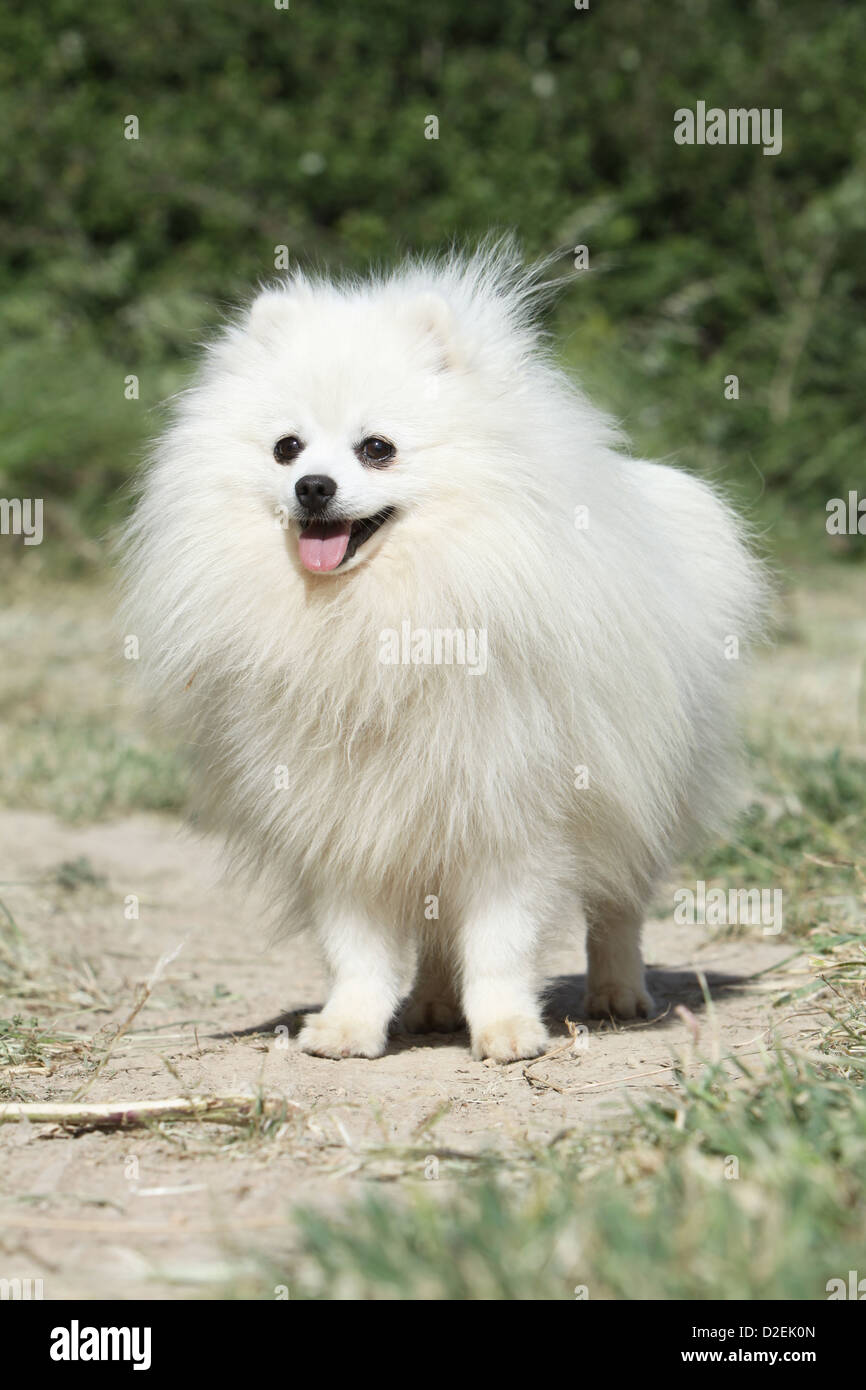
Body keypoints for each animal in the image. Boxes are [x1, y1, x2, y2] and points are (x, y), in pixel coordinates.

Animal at [122, 241, 767, 1061]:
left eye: (378, 449)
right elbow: (357, 946)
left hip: (634, 794)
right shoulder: (340, 812)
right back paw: (429, 1006)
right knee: (434, 934)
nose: (312, 486)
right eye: (286, 448)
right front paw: (348, 1026)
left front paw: (507, 1030)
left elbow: (499, 941)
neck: (380, 616)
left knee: (617, 906)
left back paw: (617, 993)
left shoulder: (513, 810)